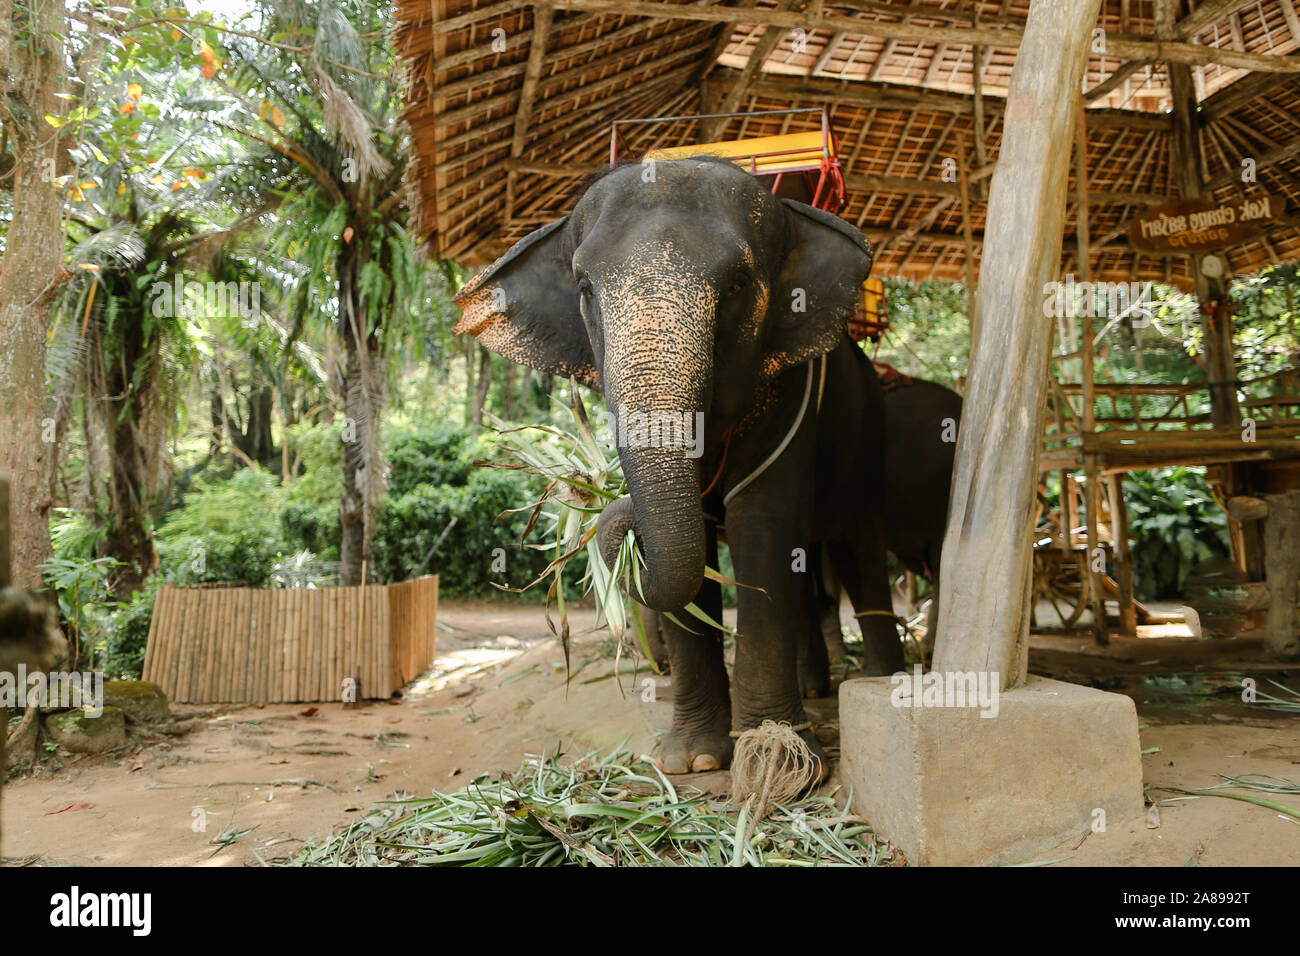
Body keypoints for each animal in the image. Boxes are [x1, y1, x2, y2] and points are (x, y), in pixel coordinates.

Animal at [453, 156, 902, 776]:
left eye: (737, 285)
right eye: (585, 288)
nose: (613, 507)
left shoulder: (788, 396)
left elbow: (760, 524)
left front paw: (777, 758)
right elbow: (706, 558)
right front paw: (692, 761)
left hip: (869, 442)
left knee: (857, 550)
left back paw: (884, 685)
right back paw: (815, 687)